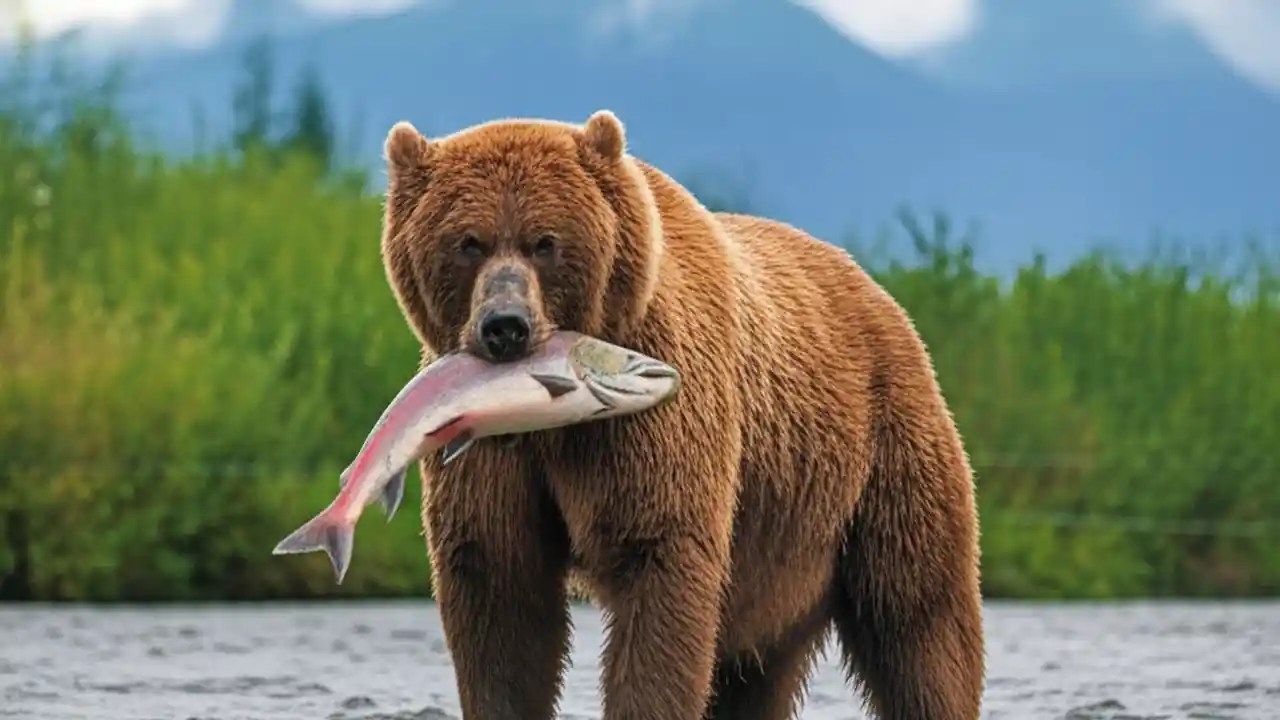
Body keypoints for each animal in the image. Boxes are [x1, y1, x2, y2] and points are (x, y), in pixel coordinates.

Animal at [378, 109, 985, 720]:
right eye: (468, 243)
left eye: (545, 242)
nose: (505, 326)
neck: (553, 424)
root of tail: (881, 294)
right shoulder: (489, 454)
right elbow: (499, 588)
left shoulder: (661, 418)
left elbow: (660, 563)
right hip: (780, 555)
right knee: (754, 671)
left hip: (880, 456)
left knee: (916, 615)